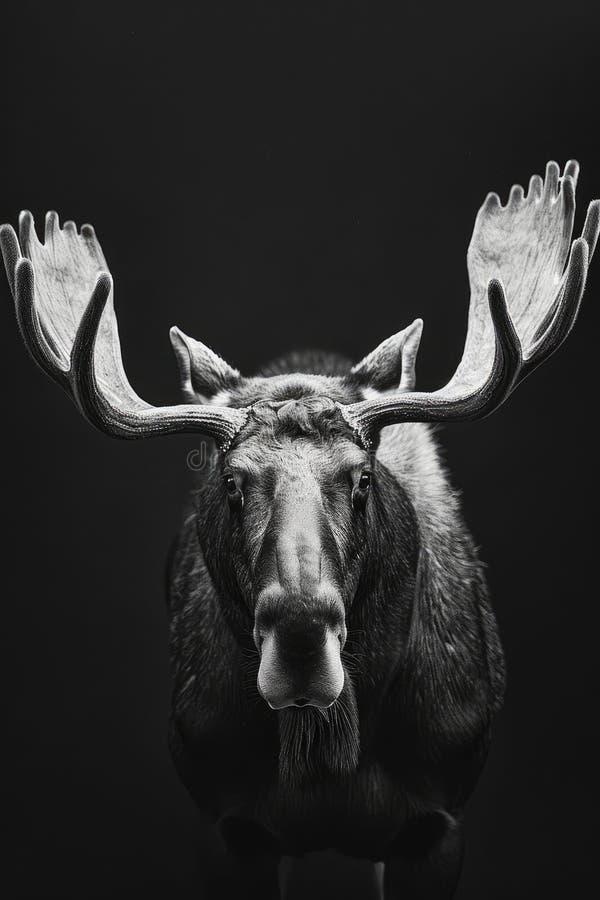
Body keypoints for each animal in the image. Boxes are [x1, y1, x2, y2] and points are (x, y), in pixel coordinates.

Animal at [2, 160, 597, 899]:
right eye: (231, 482)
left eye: (363, 478)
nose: (302, 636)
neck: (331, 759)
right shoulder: (223, 822)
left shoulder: (439, 821)